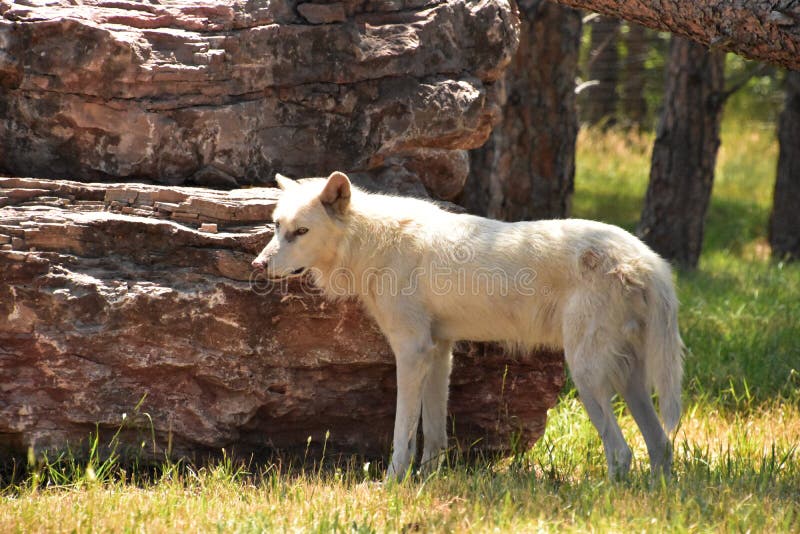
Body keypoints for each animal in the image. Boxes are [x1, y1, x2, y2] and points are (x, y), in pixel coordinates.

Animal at [252, 171, 684, 480]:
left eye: (301, 232)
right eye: (276, 227)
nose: (257, 265)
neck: (374, 242)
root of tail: (649, 261)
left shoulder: (411, 352)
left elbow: (402, 434)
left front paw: (391, 483)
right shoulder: (438, 352)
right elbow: (433, 434)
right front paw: (427, 481)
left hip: (587, 376)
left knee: (622, 452)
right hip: (628, 381)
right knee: (660, 446)